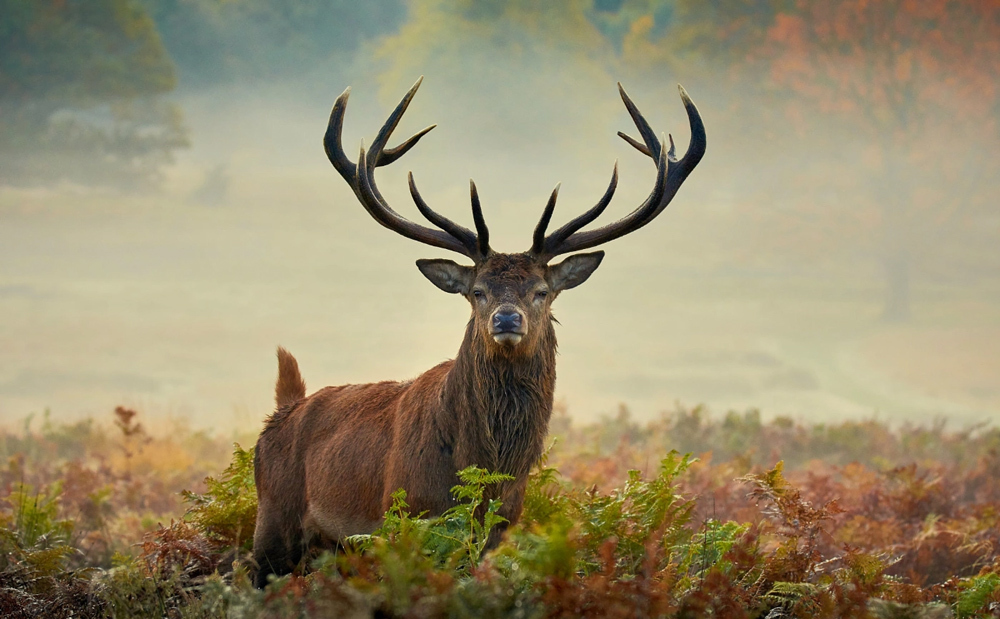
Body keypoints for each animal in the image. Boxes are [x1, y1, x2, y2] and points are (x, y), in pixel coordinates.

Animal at [252, 77, 705, 587]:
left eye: (542, 291)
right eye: (477, 291)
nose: (507, 320)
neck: (482, 474)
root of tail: (282, 411)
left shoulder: (499, 531)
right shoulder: (403, 516)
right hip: (273, 520)